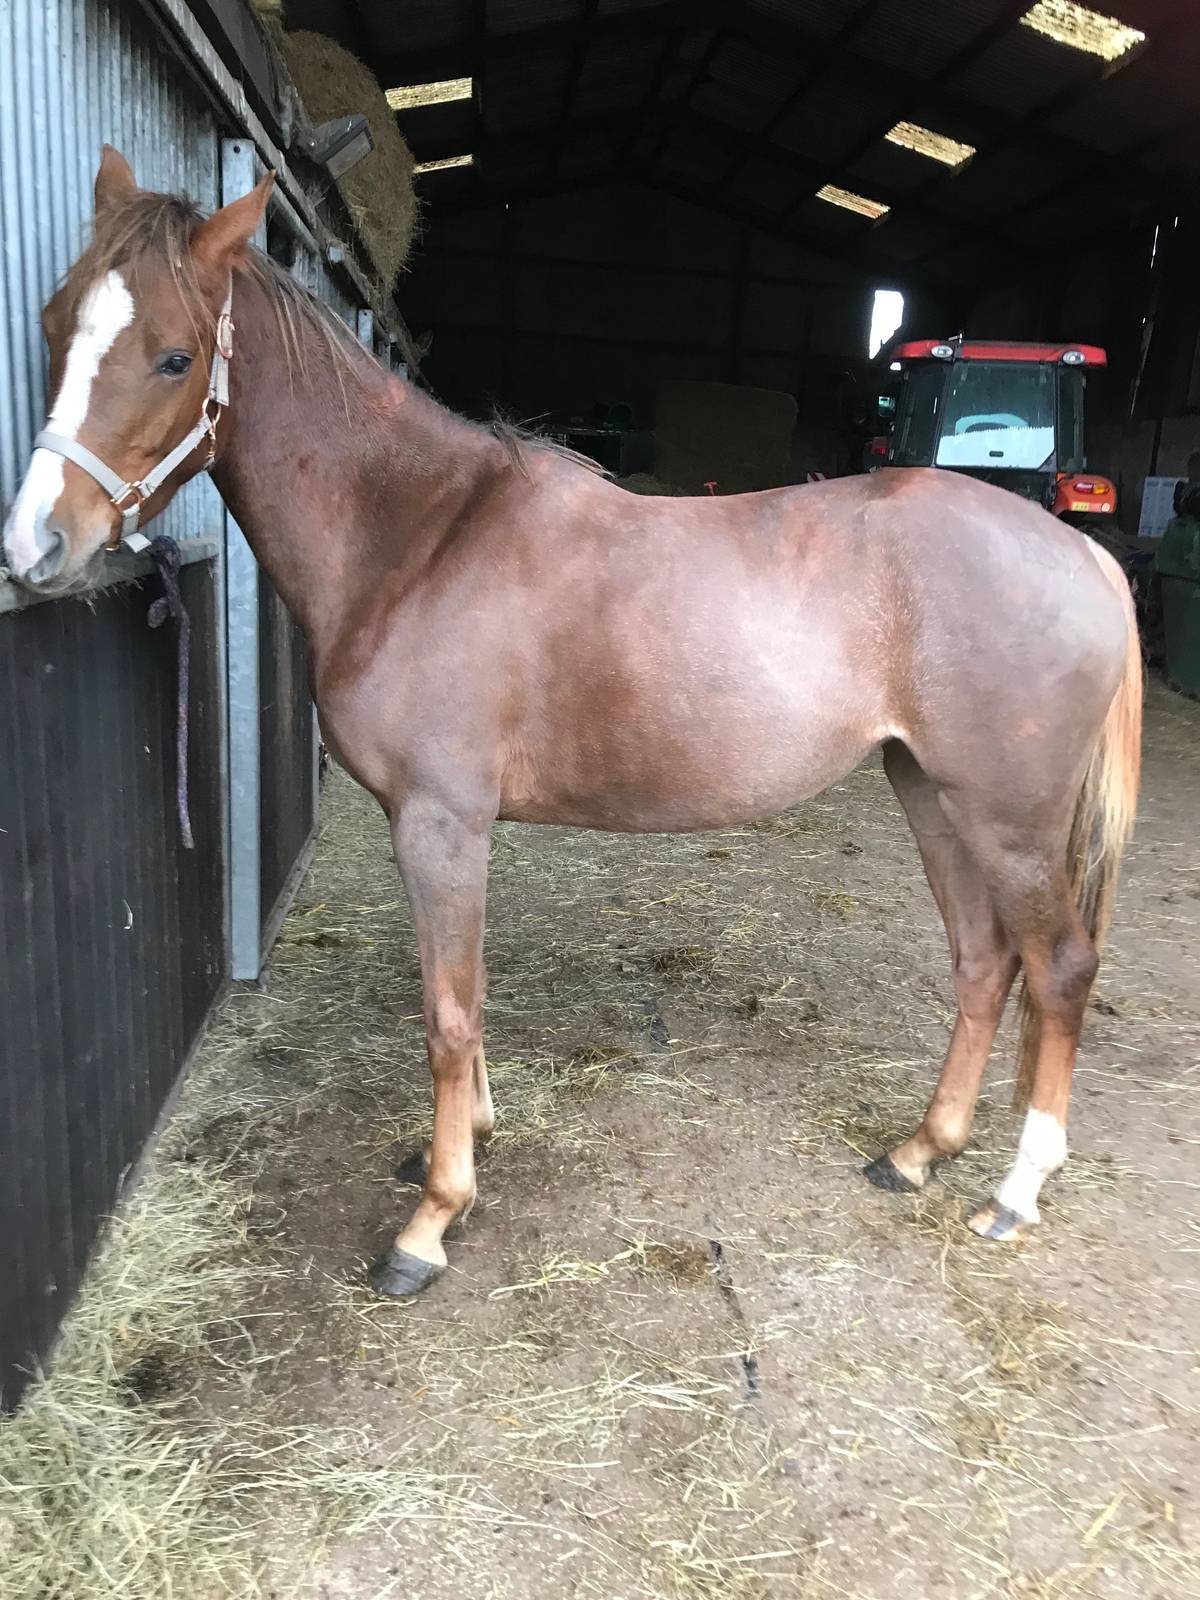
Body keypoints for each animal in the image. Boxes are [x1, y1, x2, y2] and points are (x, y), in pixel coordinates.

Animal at [3, 150, 1142, 1297]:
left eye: (173, 356)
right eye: (56, 323)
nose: (33, 547)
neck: (417, 537)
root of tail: (1082, 554)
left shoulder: (440, 821)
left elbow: (446, 1014)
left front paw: (432, 1219)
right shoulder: (448, 826)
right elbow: (464, 990)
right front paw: (468, 1139)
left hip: (1010, 820)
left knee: (1058, 969)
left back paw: (1013, 1191)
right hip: (933, 793)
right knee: (983, 962)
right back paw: (918, 1152)